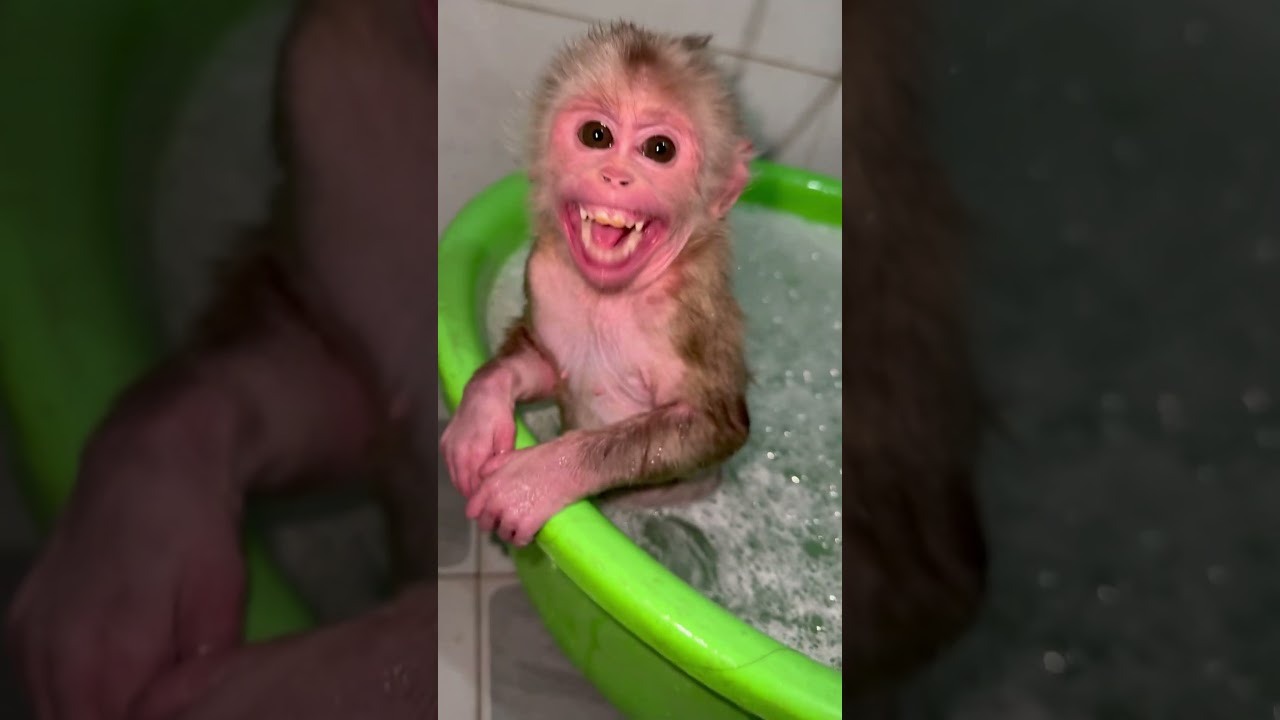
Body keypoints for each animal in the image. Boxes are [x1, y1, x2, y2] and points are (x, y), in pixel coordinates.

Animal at [440, 22, 756, 549]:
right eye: (596, 135)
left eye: (659, 149)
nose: (615, 175)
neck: (612, 296)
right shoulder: (542, 270)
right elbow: (541, 364)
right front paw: (481, 410)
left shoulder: (690, 314)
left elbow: (714, 426)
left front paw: (542, 477)